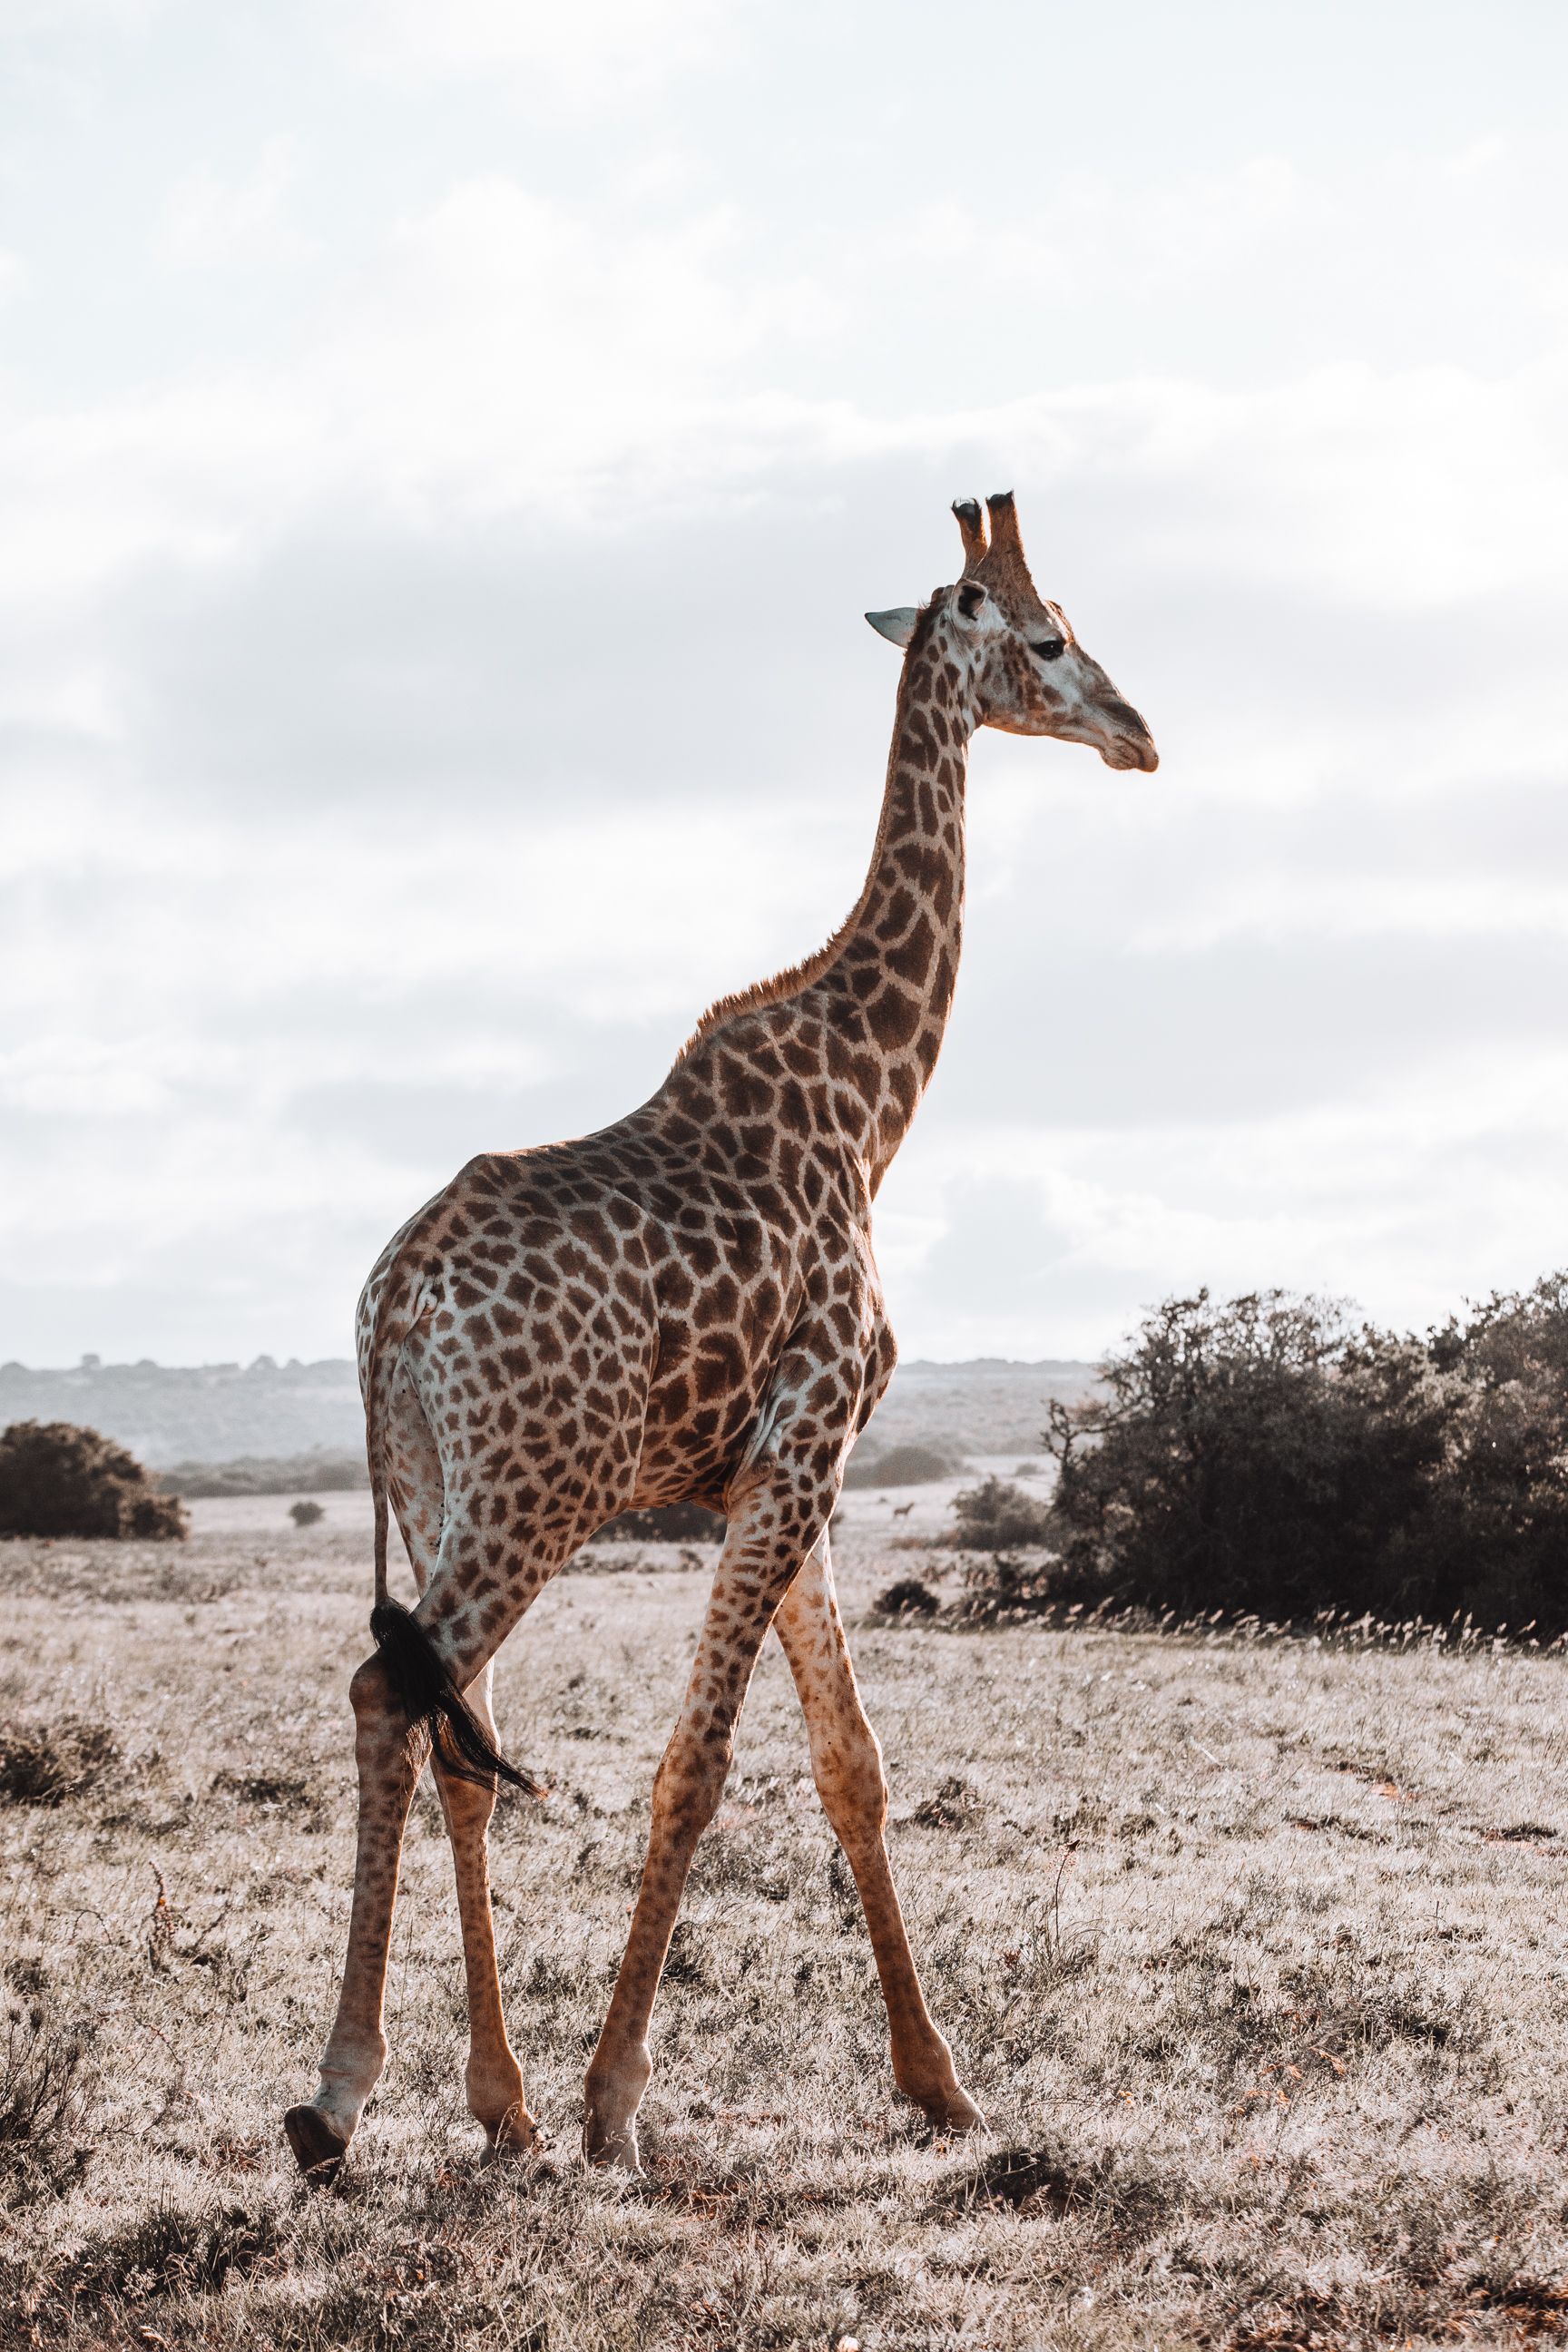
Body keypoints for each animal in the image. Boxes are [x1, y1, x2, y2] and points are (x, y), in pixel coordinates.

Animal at [283, 491, 1157, 2180]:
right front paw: (622, 2098)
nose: (1139, 734)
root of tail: (391, 1309)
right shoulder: (806, 1441)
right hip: (533, 1495)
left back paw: (495, 2100)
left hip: (435, 1490)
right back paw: (339, 2097)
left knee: (453, 1736)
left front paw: (940, 2085)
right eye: (1045, 639)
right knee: (391, 1700)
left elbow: (852, 1764)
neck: (868, 1105)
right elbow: (696, 1766)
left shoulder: (781, 1468)